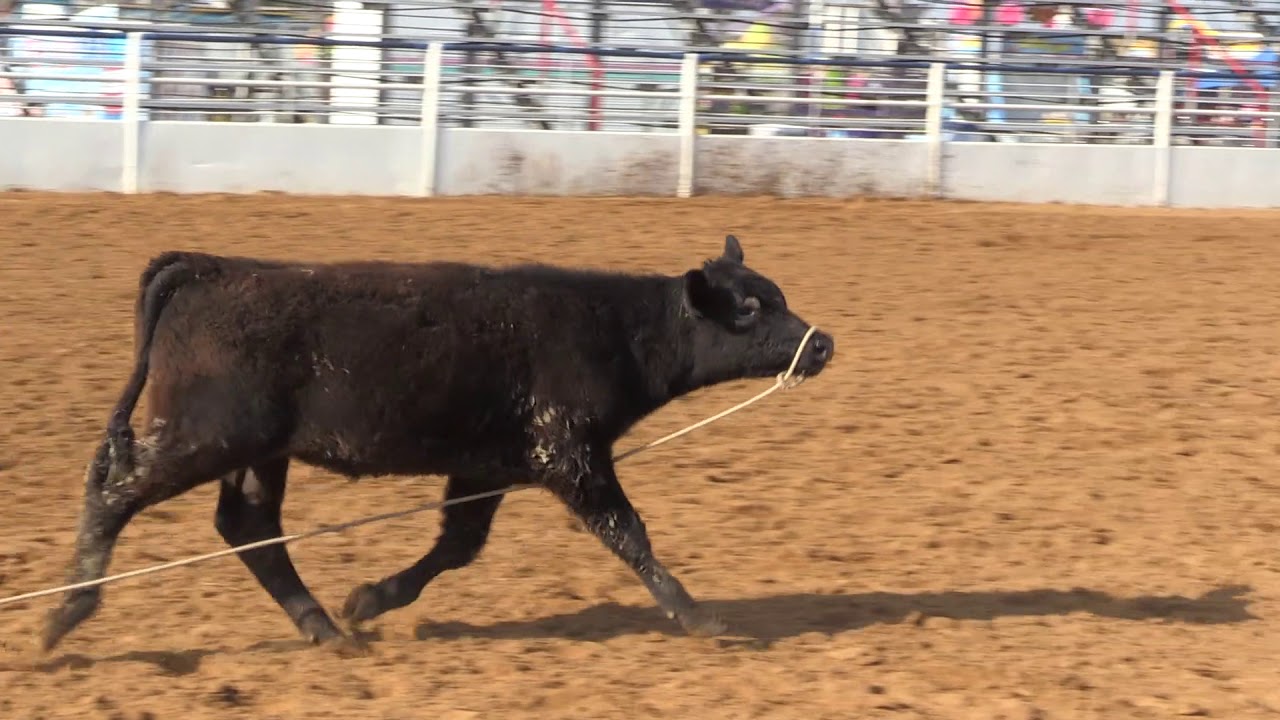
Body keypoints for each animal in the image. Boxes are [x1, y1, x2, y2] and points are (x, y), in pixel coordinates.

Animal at [39, 234, 834, 654]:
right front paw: (699, 615)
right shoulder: (569, 453)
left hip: (255, 452)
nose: (822, 342)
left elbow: (457, 545)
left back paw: (327, 627)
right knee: (114, 494)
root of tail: (212, 267)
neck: (614, 330)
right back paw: (65, 614)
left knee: (248, 527)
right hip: (205, 435)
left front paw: (371, 598)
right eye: (752, 307)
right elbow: (628, 533)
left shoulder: (487, 464)